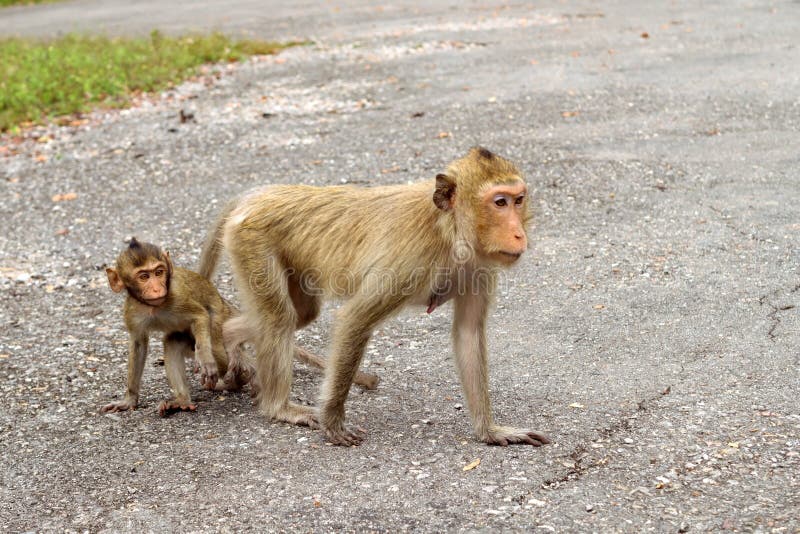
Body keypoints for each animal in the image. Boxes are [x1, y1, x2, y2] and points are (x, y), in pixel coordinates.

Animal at [102, 239, 379, 417]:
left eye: (159, 272)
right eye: (143, 276)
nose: (156, 288)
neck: (154, 307)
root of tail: (228, 305)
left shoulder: (178, 298)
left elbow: (200, 316)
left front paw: (207, 361)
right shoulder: (133, 312)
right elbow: (138, 343)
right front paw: (129, 399)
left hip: (221, 323)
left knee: (217, 343)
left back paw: (237, 379)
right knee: (172, 342)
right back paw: (182, 400)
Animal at [199, 147, 551, 447]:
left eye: (519, 200)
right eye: (499, 202)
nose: (519, 233)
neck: (448, 229)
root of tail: (258, 194)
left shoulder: (480, 268)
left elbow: (468, 334)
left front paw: (491, 431)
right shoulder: (409, 259)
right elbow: (354, 320)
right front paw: (333, 422)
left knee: (300, 313)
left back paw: (226, 337)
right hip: (252, 241)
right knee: (279, 318)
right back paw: (279, 407)